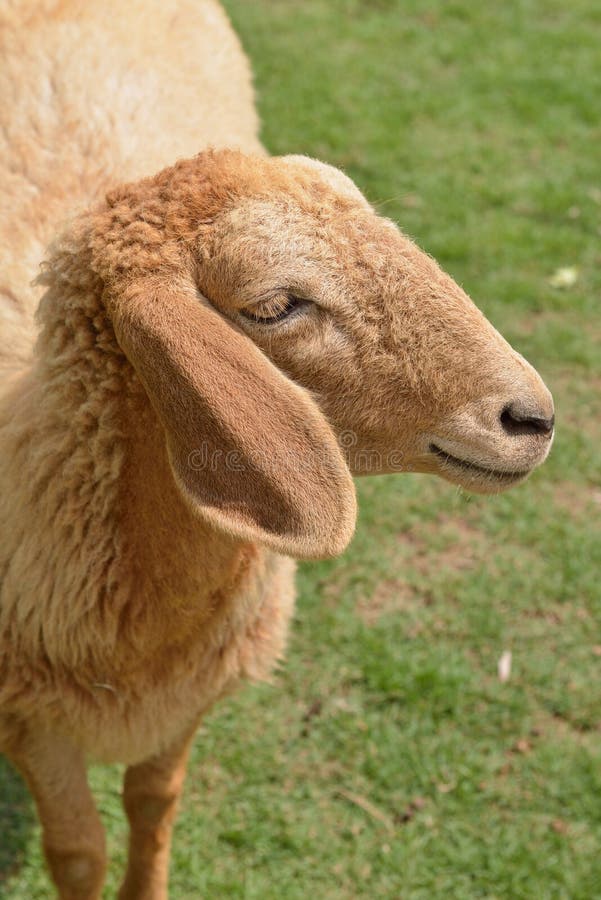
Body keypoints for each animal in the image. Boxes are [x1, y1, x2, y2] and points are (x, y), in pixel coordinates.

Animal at [0, 3, 555, 899]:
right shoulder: (27, 714)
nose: (530, 418)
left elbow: (155, 800)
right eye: (274, 305)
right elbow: (78, 852)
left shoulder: (192, 691)